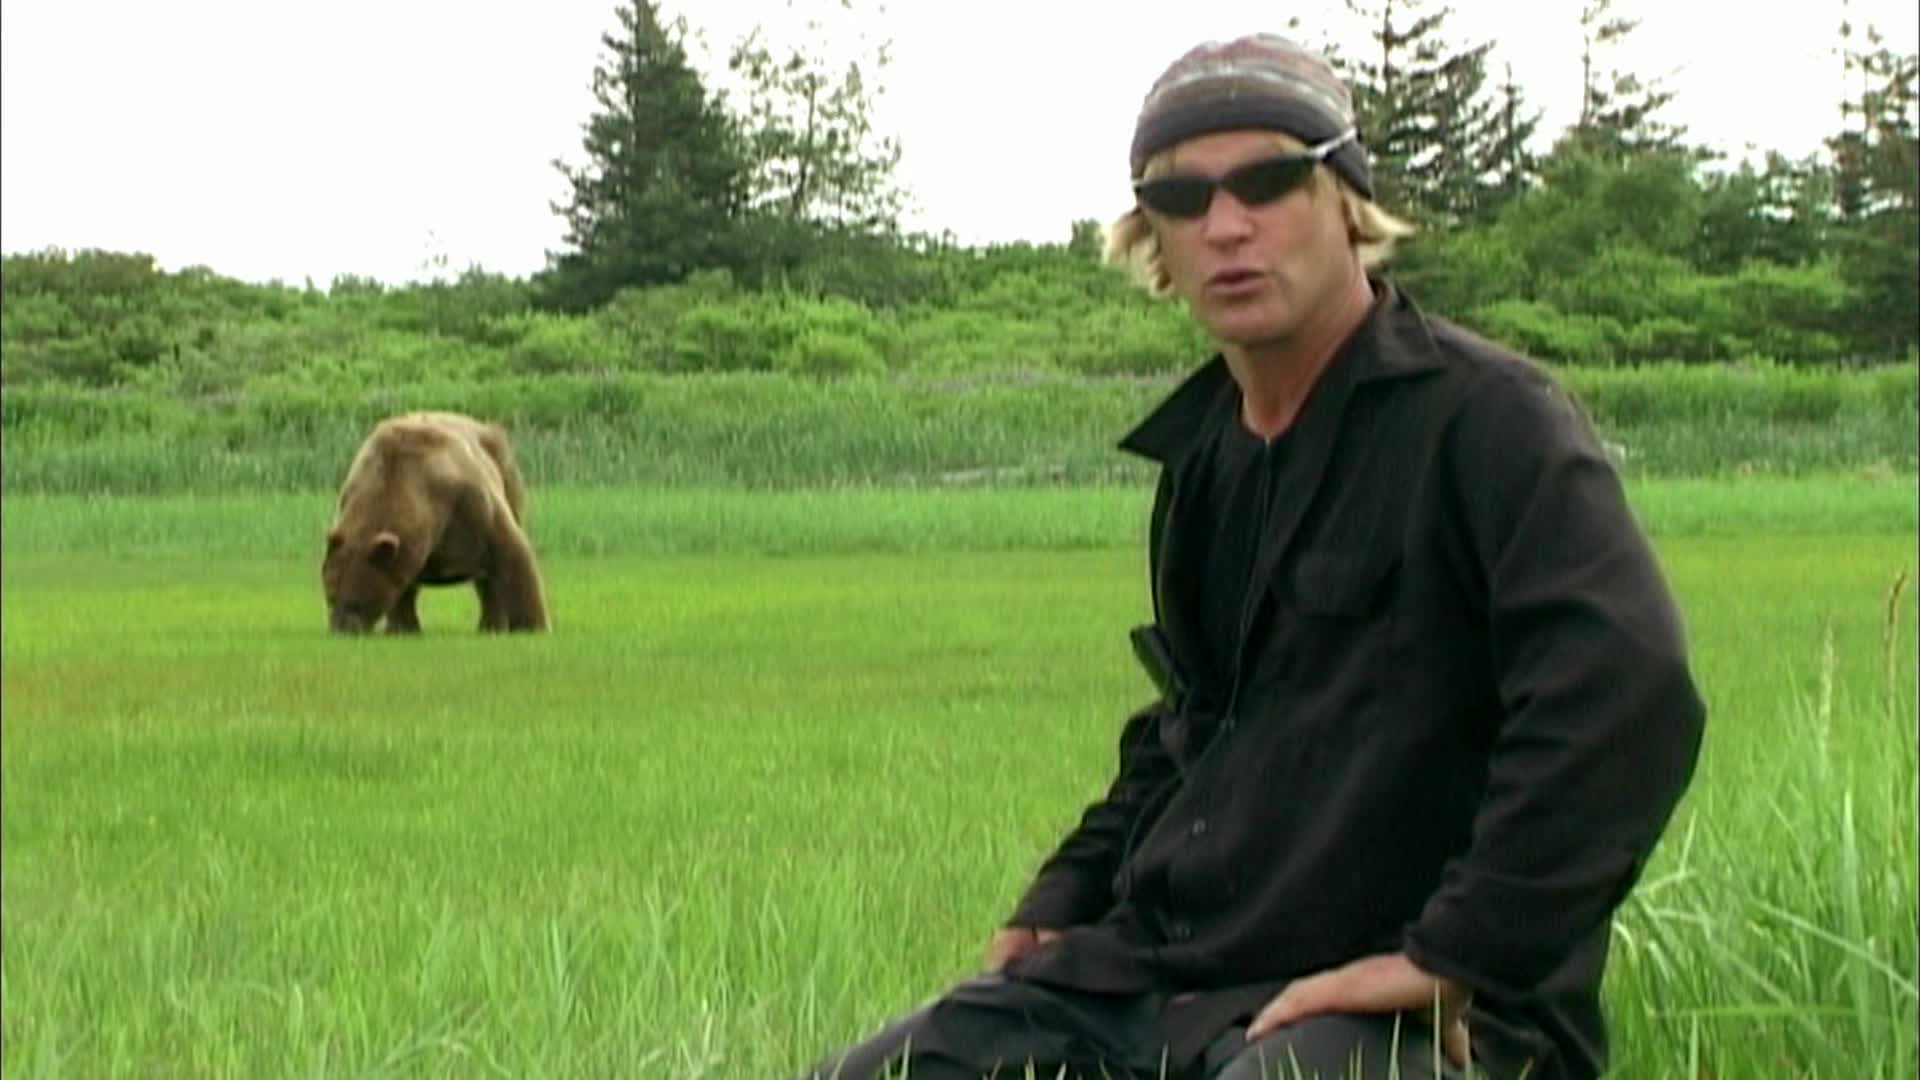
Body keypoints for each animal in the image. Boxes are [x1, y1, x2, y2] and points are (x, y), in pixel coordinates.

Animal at [322, 411, 550, 634]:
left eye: (356, 603)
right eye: (331, 596)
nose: (341, 629)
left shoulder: (470, 504)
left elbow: (512, 553)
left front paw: (532, 626)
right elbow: (402, 585)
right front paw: (403, 628)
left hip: (504, 470)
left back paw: (491, 625)